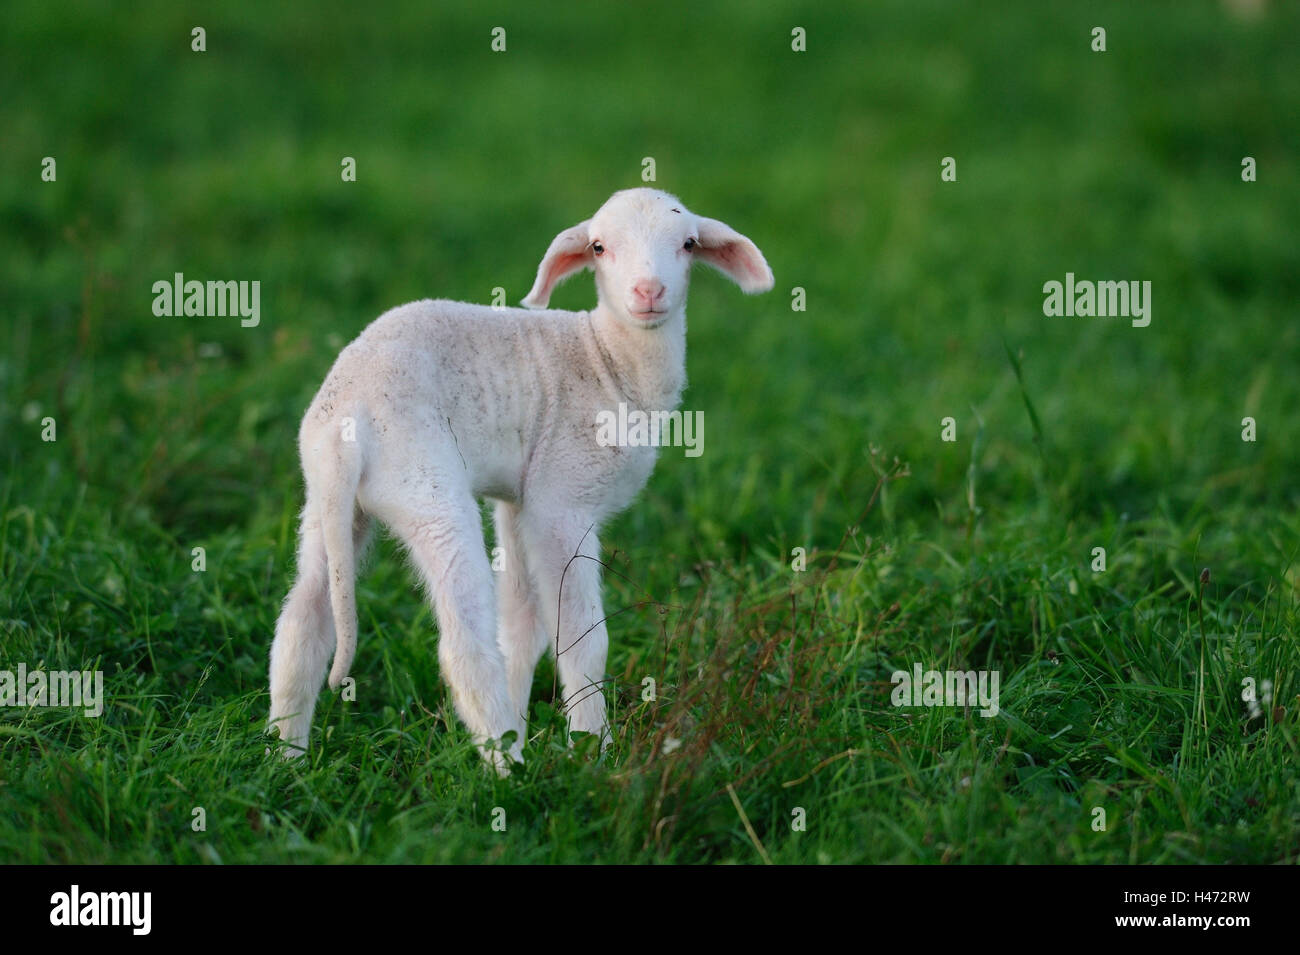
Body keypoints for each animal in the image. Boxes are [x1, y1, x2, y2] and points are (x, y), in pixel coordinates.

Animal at [267, 188, 774, 772]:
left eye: (689, 244)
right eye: (599, 247)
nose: (649, 291)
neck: (610, 360)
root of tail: (348, 416)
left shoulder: (518, 500)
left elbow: (522, 629)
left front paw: (529, 722)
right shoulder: (561, 501)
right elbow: (580, 639)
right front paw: (591, 751)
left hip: (331, 501)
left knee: (302, 624)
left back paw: (286, 760)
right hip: (426, 484)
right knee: (462, 645)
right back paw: (508, 769)